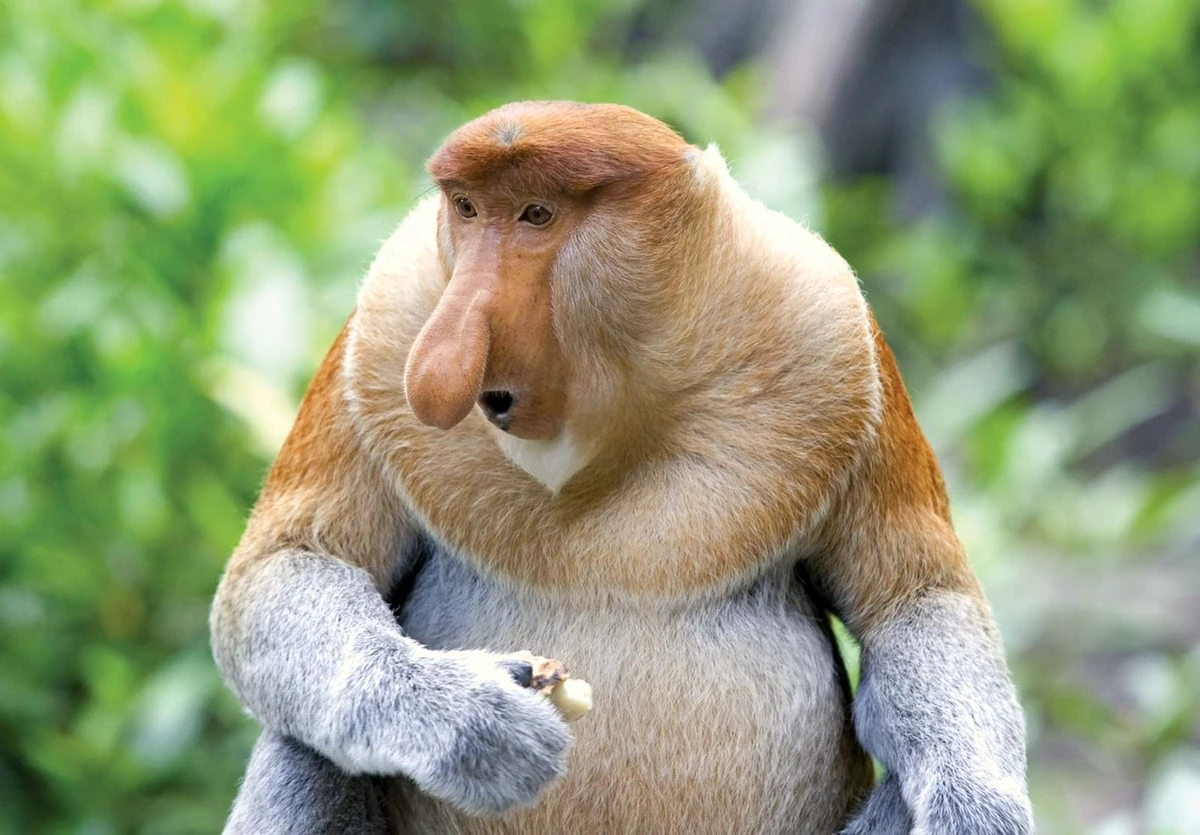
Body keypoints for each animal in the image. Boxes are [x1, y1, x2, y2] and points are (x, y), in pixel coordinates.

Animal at [210, 101, 1033, 834]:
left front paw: (976, 812)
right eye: (468, 210)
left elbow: (915, 600)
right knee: (305, 743)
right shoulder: (385, 323)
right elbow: (286, 566)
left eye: (536, 215)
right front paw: (472, 721)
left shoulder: (832, 328)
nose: (437, 366)